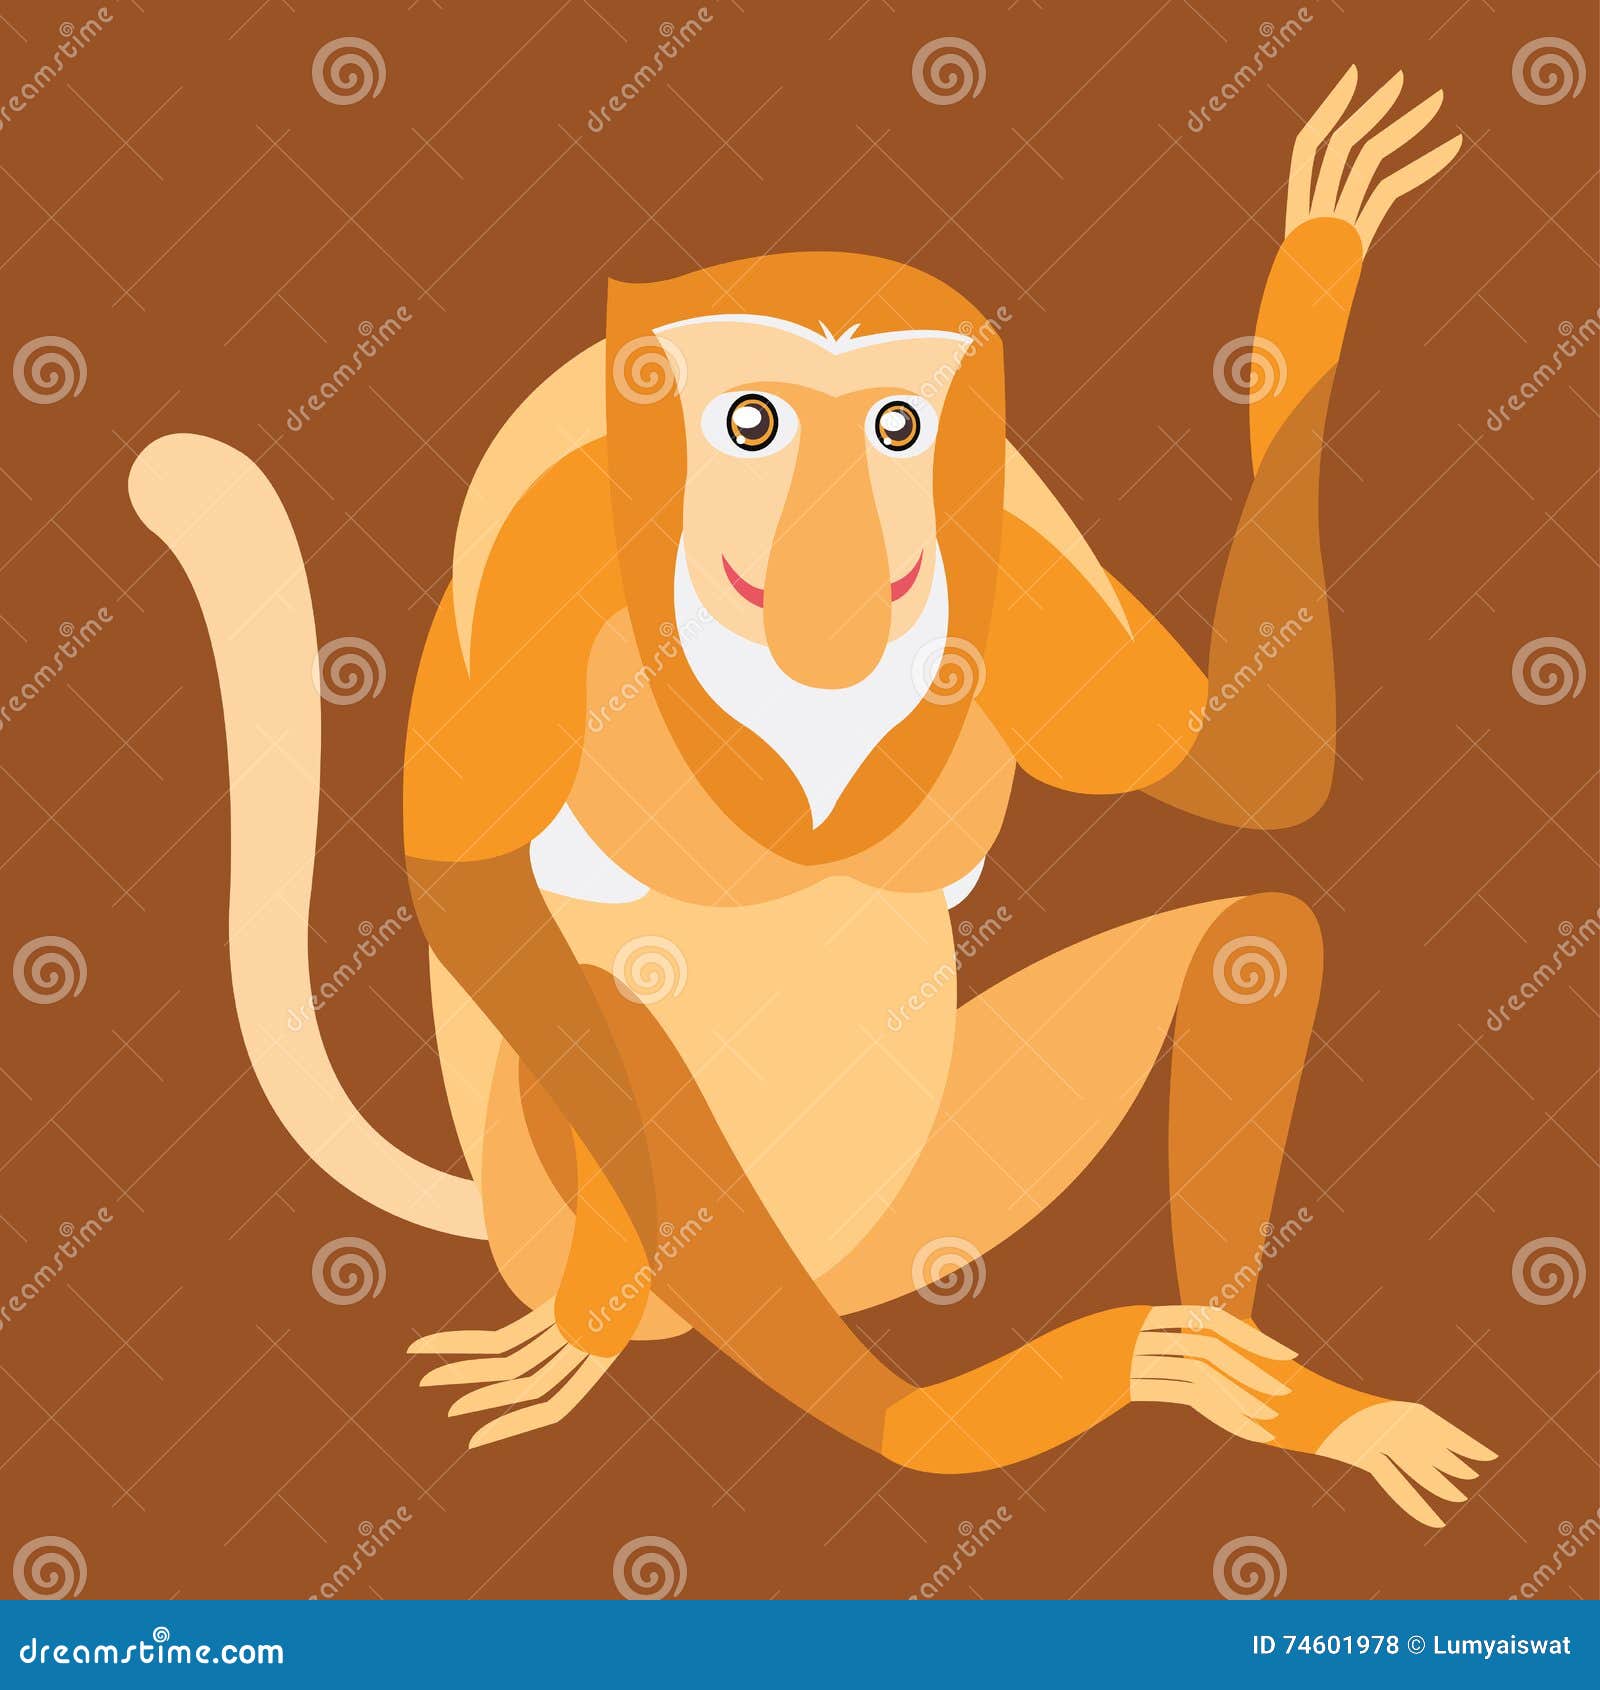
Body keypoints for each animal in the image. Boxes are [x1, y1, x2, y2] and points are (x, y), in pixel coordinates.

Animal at [130, 68, 1492, 1527]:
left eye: (899, 426)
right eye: (753, 422)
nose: (834, 559)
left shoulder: (1017, 542)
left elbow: (1254, 771)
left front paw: (1318, 268)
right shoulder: (539, 563)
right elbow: (469, 882)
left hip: (927, 1203)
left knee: (1250, 942)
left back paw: (1255, 1389)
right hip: (568, 1210)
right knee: (609, 1022)